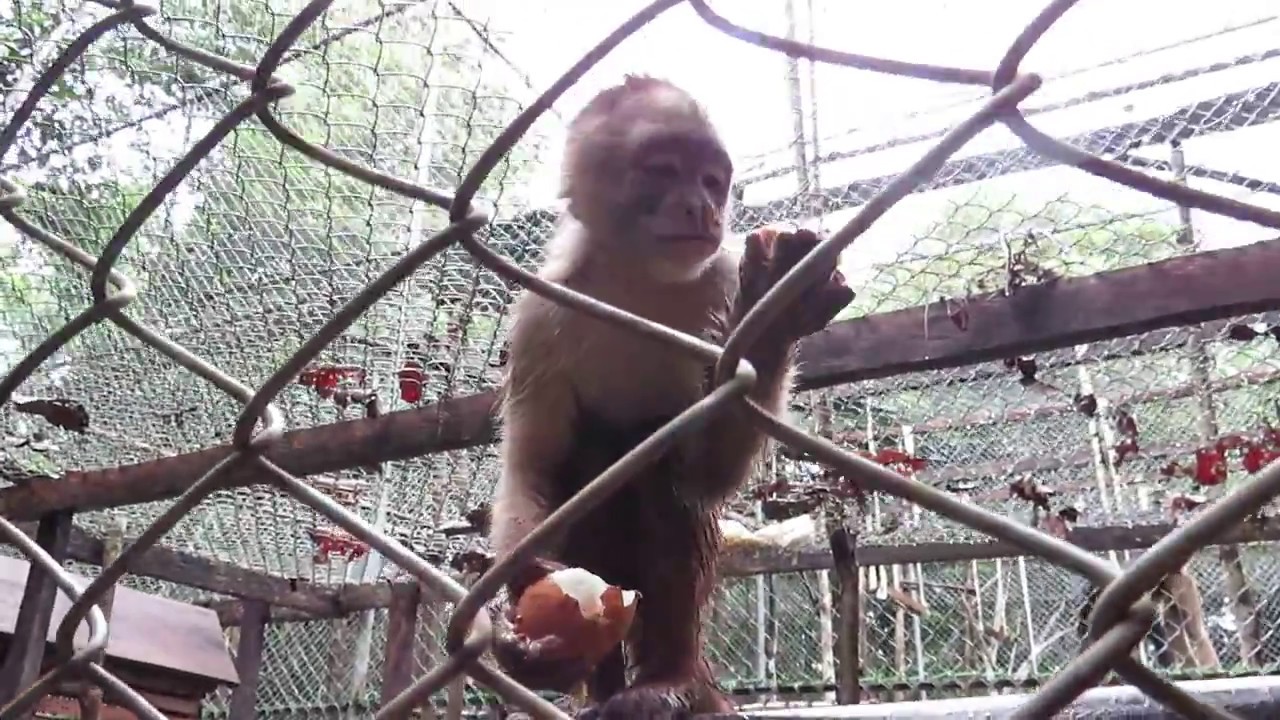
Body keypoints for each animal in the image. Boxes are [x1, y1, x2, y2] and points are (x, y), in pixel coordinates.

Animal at [484, 75, 854, 719]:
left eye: (711, 179)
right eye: (663, 170)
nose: (702, 207)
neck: (640, 282)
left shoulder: (723, 276)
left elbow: (704, 474)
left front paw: (775, 323)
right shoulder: (539, 314)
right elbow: (535, 469)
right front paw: (528, 590)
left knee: (662, 479)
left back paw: (670, 681)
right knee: (590, 461)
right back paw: (603, 686)